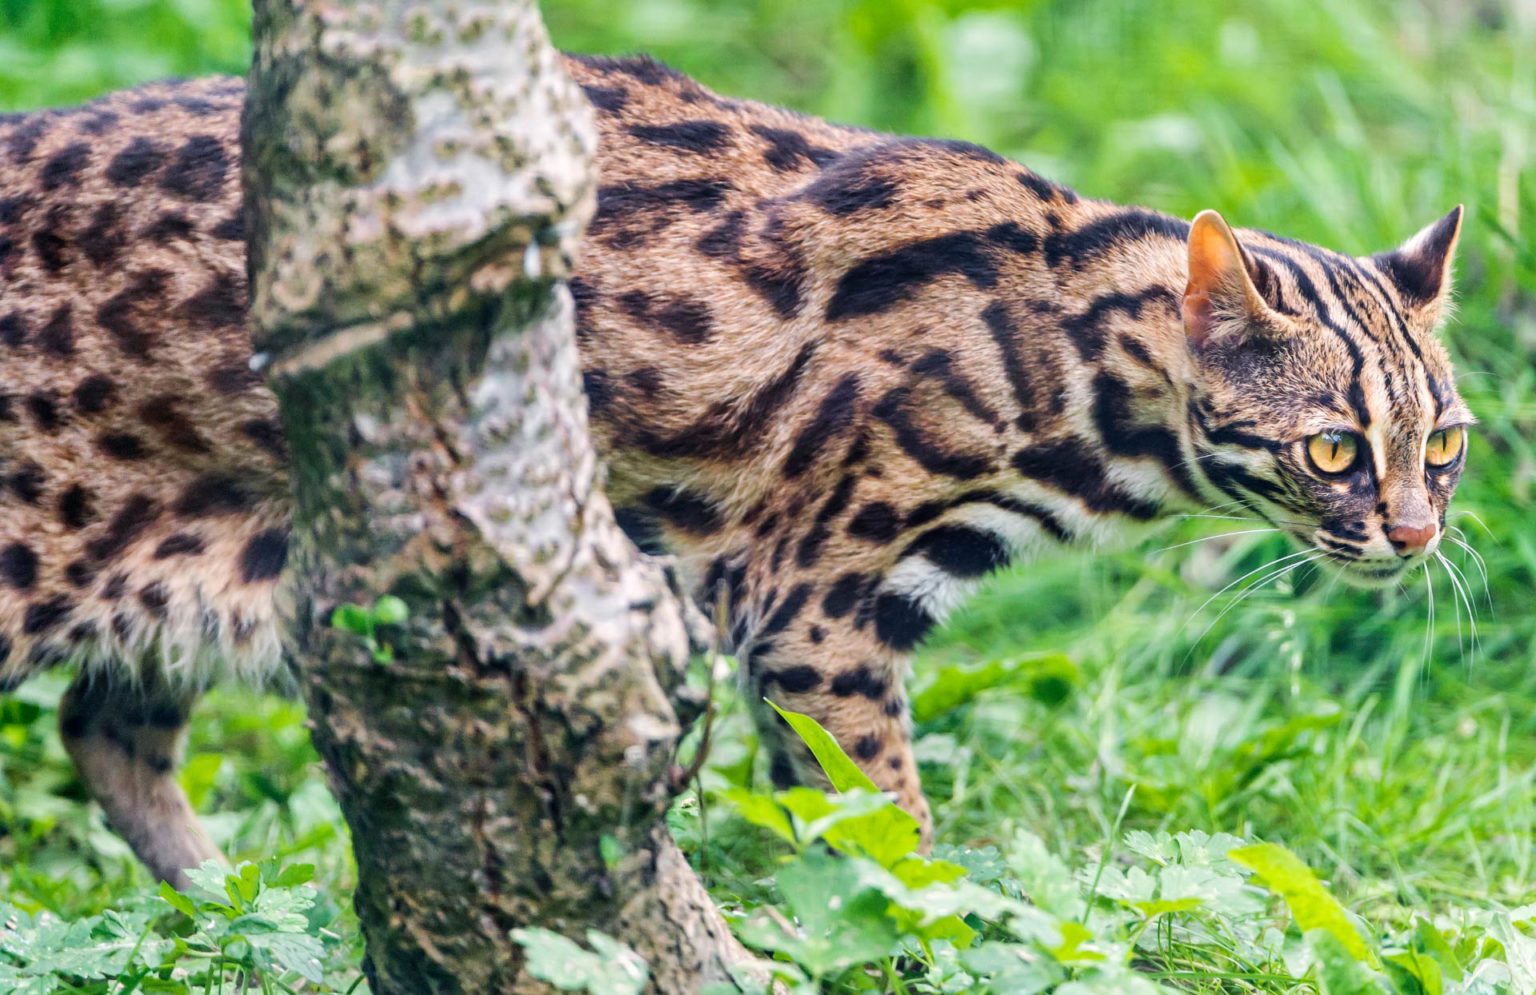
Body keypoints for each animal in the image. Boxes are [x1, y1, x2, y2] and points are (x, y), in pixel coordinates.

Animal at [0, 54, 1471, 886]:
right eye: (1334, 446)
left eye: (1445, 445)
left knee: (105, 728)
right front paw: (925, 920)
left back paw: (228, 900)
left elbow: (813, 811)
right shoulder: (816, 600)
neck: (1074, 358)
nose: (1413, 537)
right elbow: (885, 812)